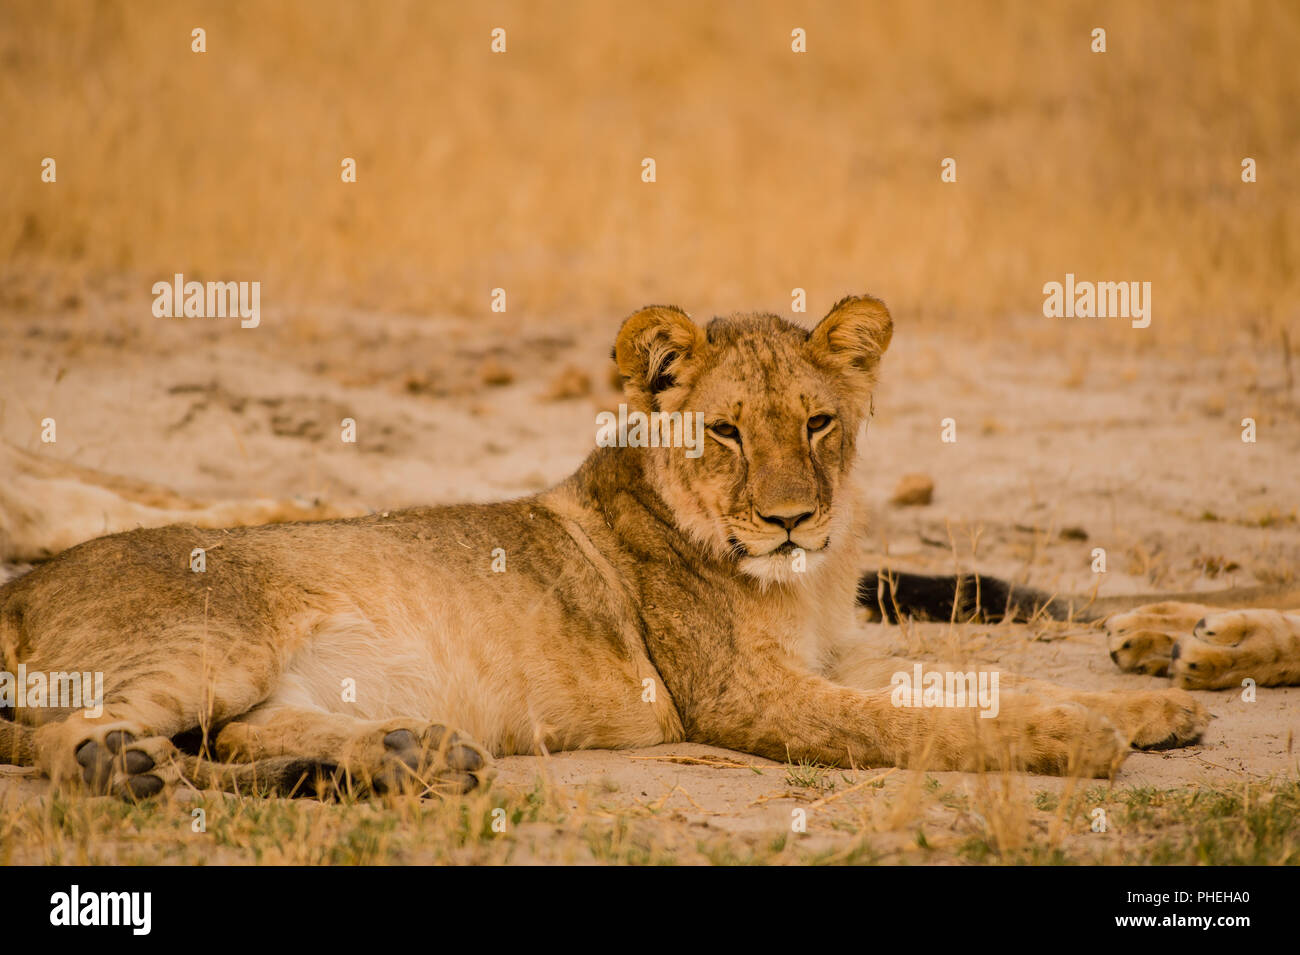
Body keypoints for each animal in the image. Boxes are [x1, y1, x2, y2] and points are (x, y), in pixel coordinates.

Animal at [4, 294, 1278, 800]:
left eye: (819, 422)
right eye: (725, 429)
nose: (790, 519)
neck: (801, 582)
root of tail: (34, 579)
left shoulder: (840, 655)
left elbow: (965, 677)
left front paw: (1151, 705)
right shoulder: (747, 698)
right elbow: (925, 723)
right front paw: (1078, 734)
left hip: (269, 693)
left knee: (233, 744)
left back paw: (405, 756)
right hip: (210, 640)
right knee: (57, 732)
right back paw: (123, 770)